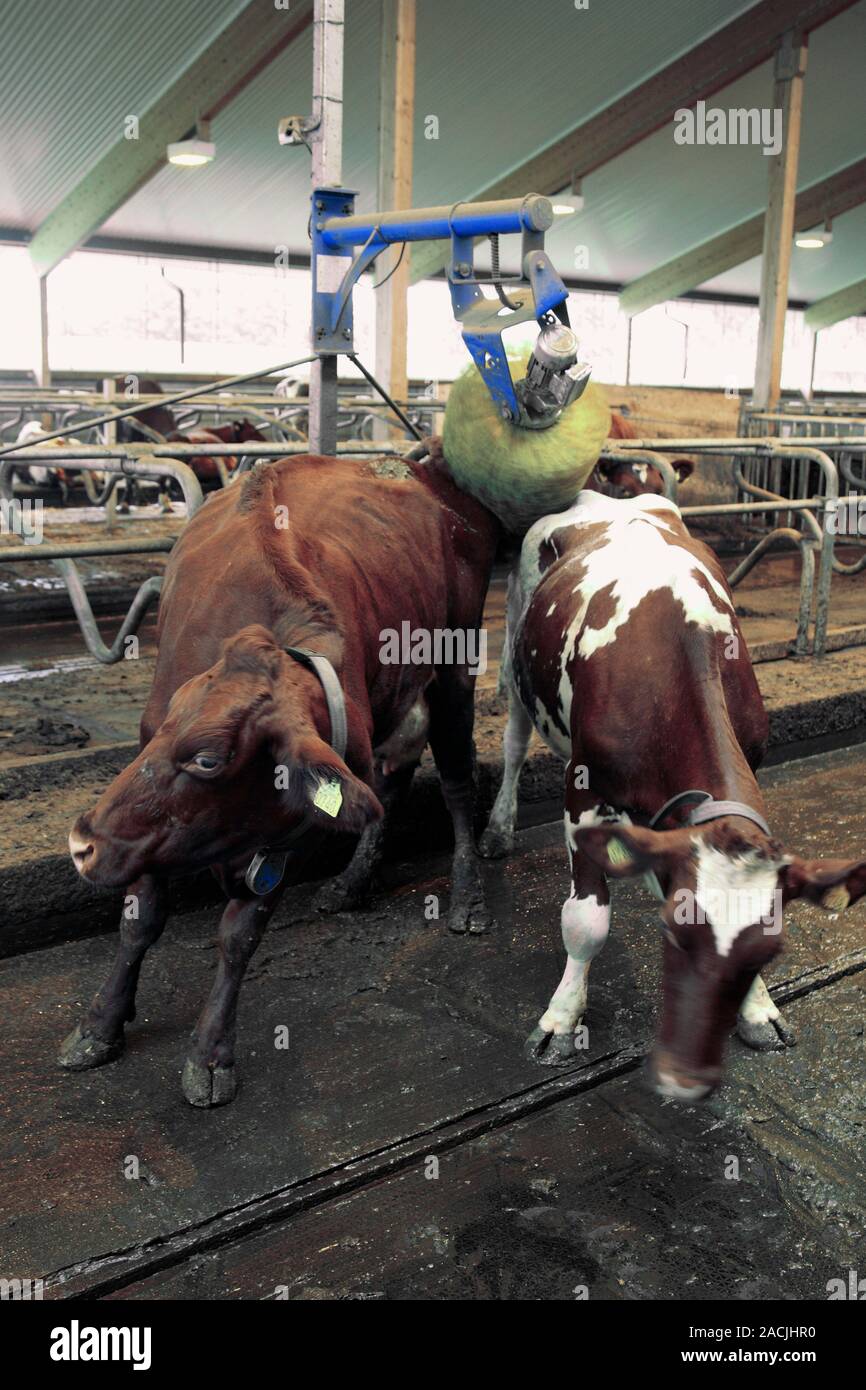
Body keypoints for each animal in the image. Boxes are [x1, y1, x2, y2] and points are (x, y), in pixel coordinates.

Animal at [61, 451, 500, 1107]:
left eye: (208, 759)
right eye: (165, 724)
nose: (81, 843)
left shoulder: (290, 827)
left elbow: (240, 934)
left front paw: (210, 1053)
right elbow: (140, 919)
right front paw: (100, 1025)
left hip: (454, 666)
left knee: (456, 784)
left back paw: (467, 895)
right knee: (390, 783)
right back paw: (352, 884)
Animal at [480, 488, 866, 1099]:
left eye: (770, 953)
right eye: (676, 938)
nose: (687, 1082)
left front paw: (759, 1011)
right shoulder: (583, 795)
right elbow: (585, 922)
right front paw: (560, 1019)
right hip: (520, 657)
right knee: (515, 743)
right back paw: (498, 829)